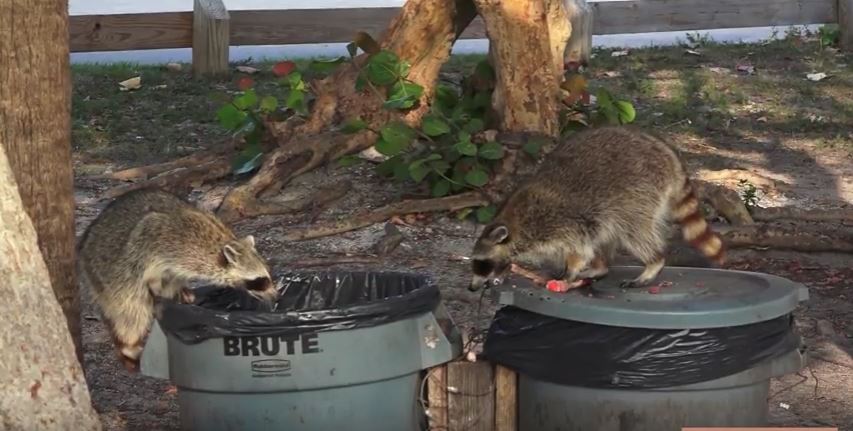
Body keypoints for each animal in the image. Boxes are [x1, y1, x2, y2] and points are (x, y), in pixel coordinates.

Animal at [77, 187, 276, 371]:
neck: (220, 245)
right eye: (260, 281)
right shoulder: (158, 241)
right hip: (107, 275)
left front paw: (181, 290)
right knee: (131, 311)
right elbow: (148, 270)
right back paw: (128, 345)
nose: (276, 297)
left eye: (268, 276)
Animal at [468, 126, 725, 292]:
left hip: (639, 192)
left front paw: (570, 272)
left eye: (482, 263)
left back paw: (653, 263)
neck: (514, 225)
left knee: (634, 231)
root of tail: (668, 152)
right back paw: (601, 267)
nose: (472, 288)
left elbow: (580, 249)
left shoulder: (556, 222)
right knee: (604, 232)